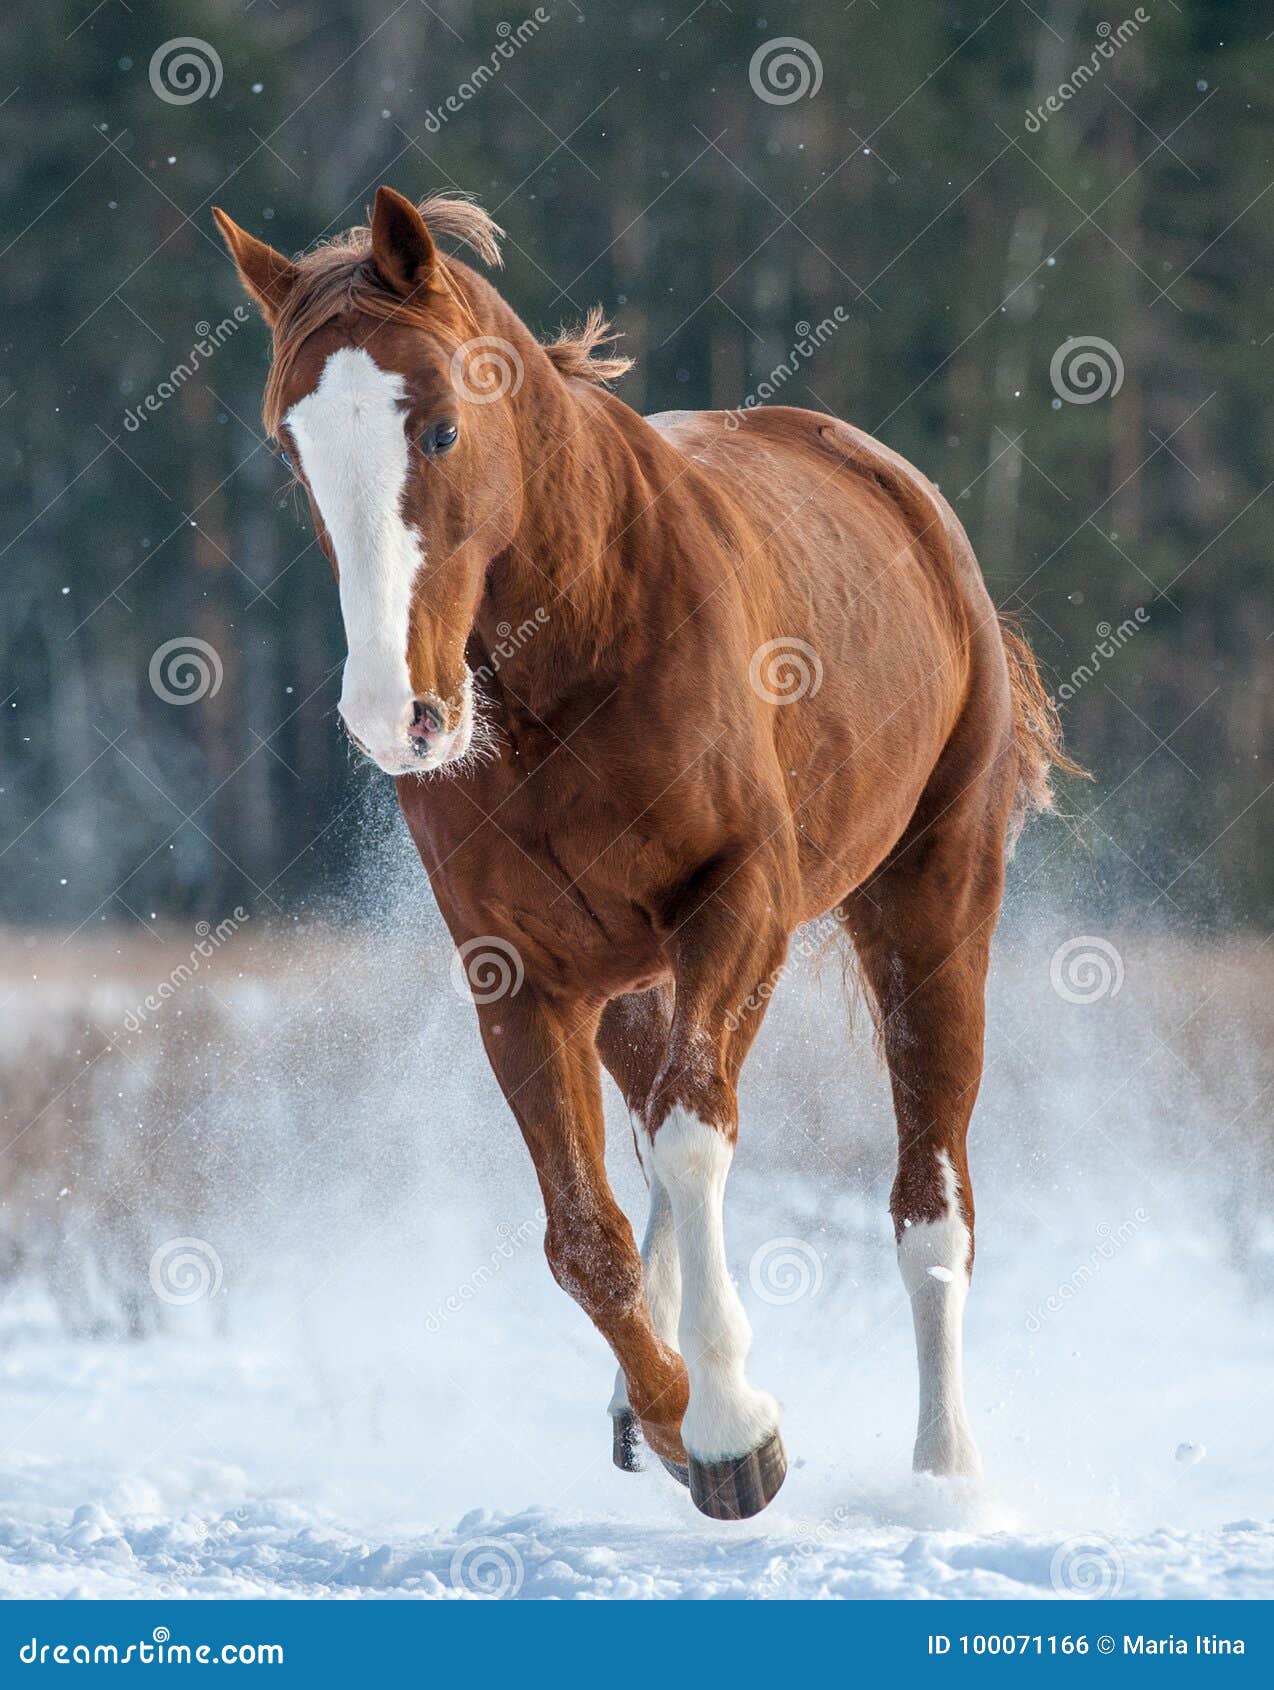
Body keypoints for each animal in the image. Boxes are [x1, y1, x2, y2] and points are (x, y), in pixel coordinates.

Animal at [214, 186, 1072, 1521]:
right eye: (293, 449)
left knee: (927, 1204)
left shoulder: (737, 901)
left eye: (442, 427)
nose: (395, 714)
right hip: (636, 975)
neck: (579, 638)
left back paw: (945, 1474)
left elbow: (690, 1135)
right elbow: (586, 1232)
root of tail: (898, 488)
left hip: (927, 904)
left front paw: (728, 1427)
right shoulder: (520, 974)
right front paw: (680, 1417)